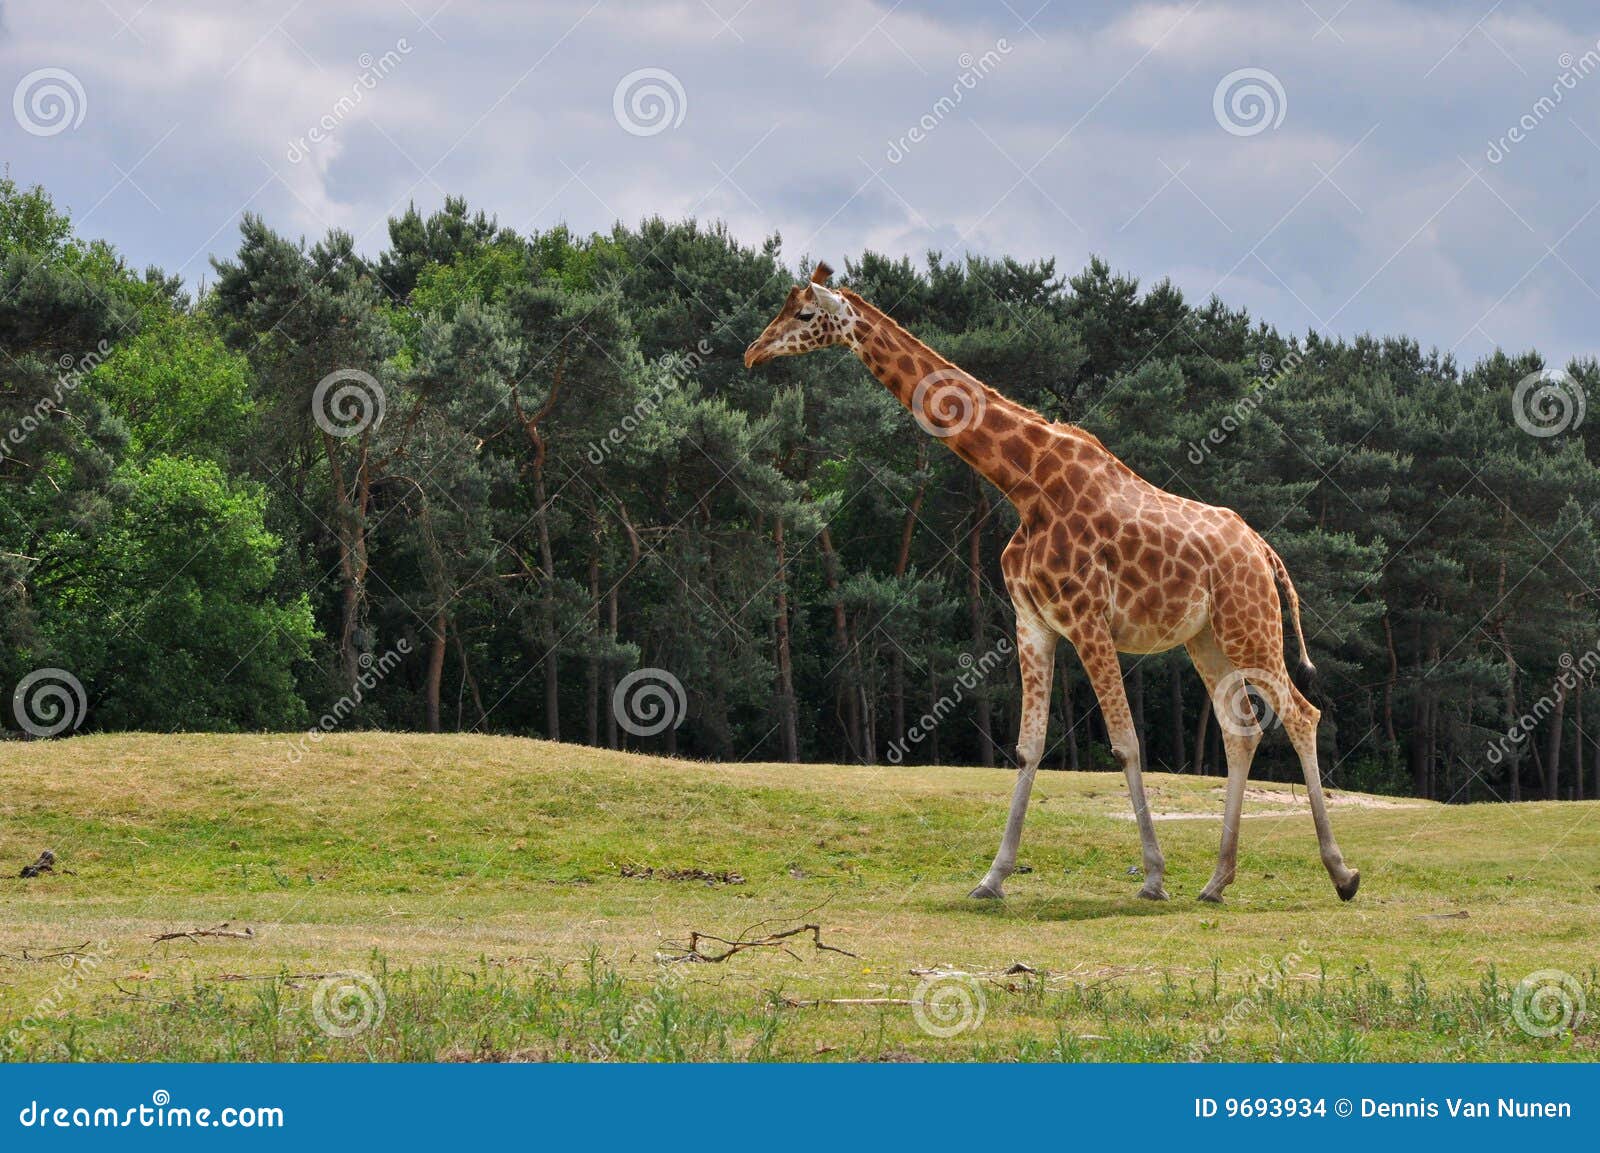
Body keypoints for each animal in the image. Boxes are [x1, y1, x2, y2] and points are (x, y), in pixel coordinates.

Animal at [744, 263, 1360, 904]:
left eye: (804, 313)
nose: (752, 351)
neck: (1025, 484)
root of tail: (1264, 551)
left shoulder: (1087, 618)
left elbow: (1125, 742)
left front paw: (1153, 876)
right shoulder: (1032, 621)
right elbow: (1028, 746)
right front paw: (992, 877)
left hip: (1249, 623)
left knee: (1301, 714)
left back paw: (1342, 875)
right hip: (1207, 638)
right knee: (1241, 729)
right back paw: (1217, 881)